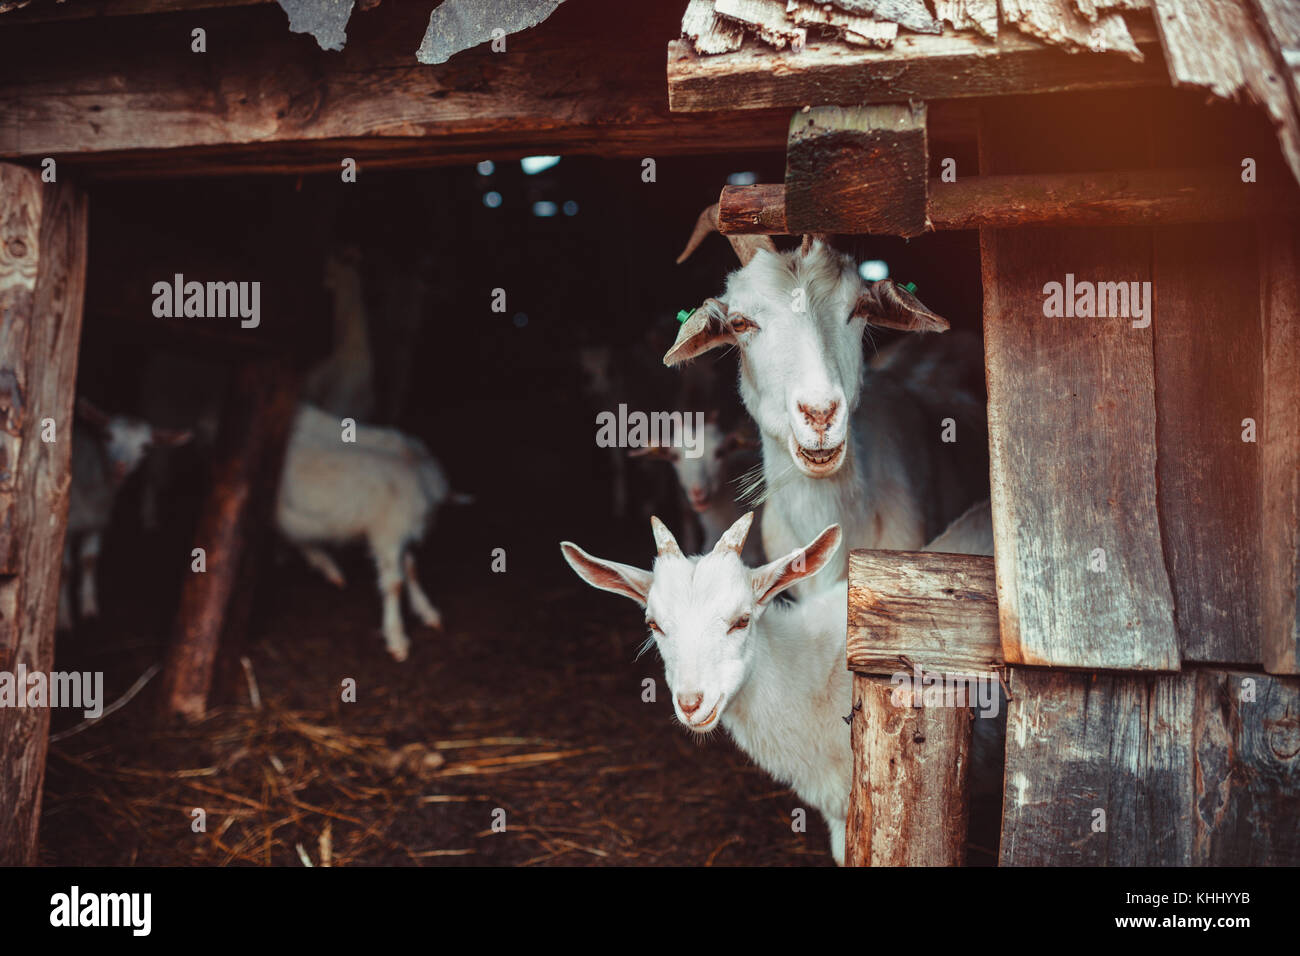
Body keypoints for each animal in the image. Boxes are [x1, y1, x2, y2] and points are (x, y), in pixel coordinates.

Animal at [62, 399, 192, 630]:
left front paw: (89, 609)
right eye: (107, 436)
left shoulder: (97, 521)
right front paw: (64, 617)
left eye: (146, 447)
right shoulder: (67, 528)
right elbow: (66, 570)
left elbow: (89, 561)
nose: (120, 467)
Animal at [274, 403, 465, 661]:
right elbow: (395, 583)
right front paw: (397, 638)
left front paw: (427, 612)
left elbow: (412, 569)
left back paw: (327, 567)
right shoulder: (388, 532)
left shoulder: (400, 533)